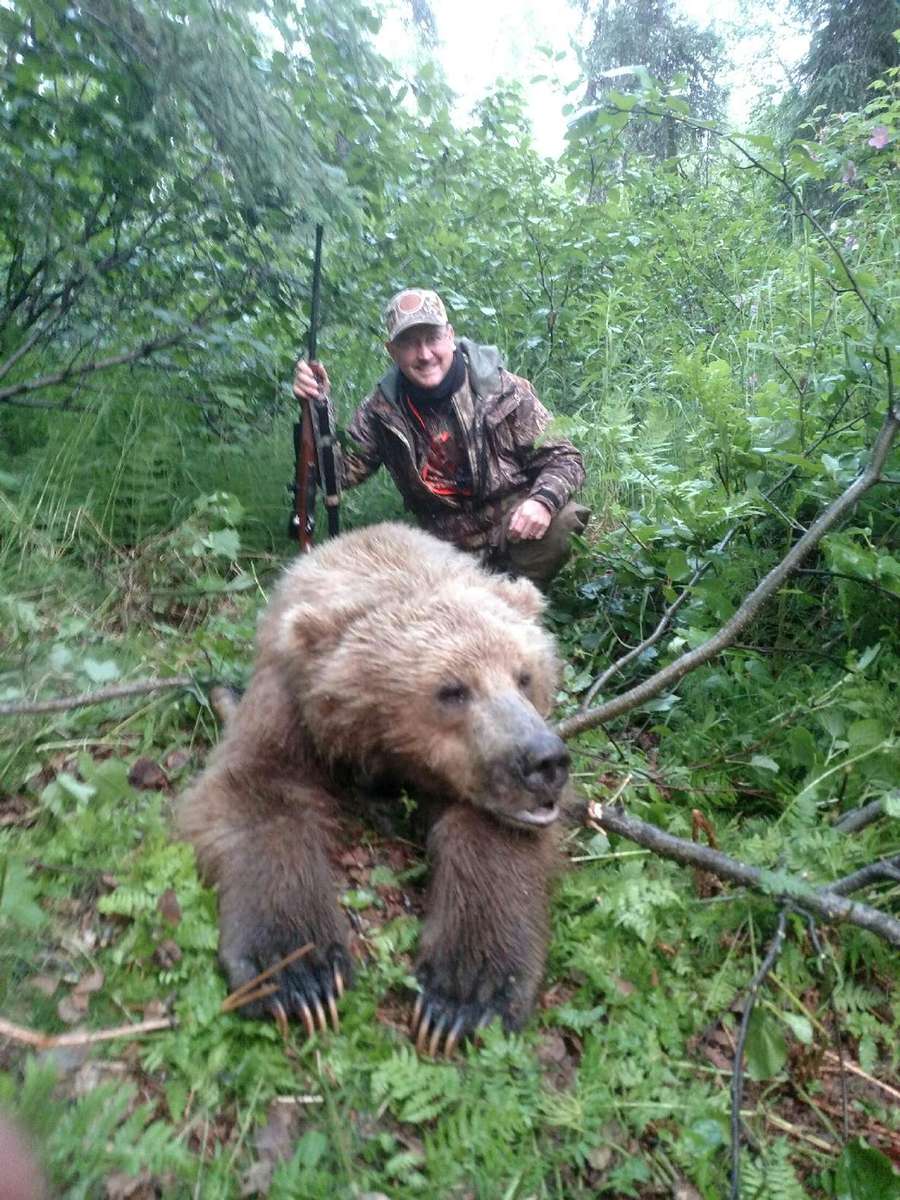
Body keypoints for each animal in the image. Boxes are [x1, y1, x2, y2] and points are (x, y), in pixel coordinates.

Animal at [178, 522, 570, 1054]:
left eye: (525, 675)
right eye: (452, 690)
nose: (544, 761)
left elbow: (489, 840)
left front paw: (463, 995)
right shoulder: (289, 699)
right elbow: (259, 794)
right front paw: (300, 973)